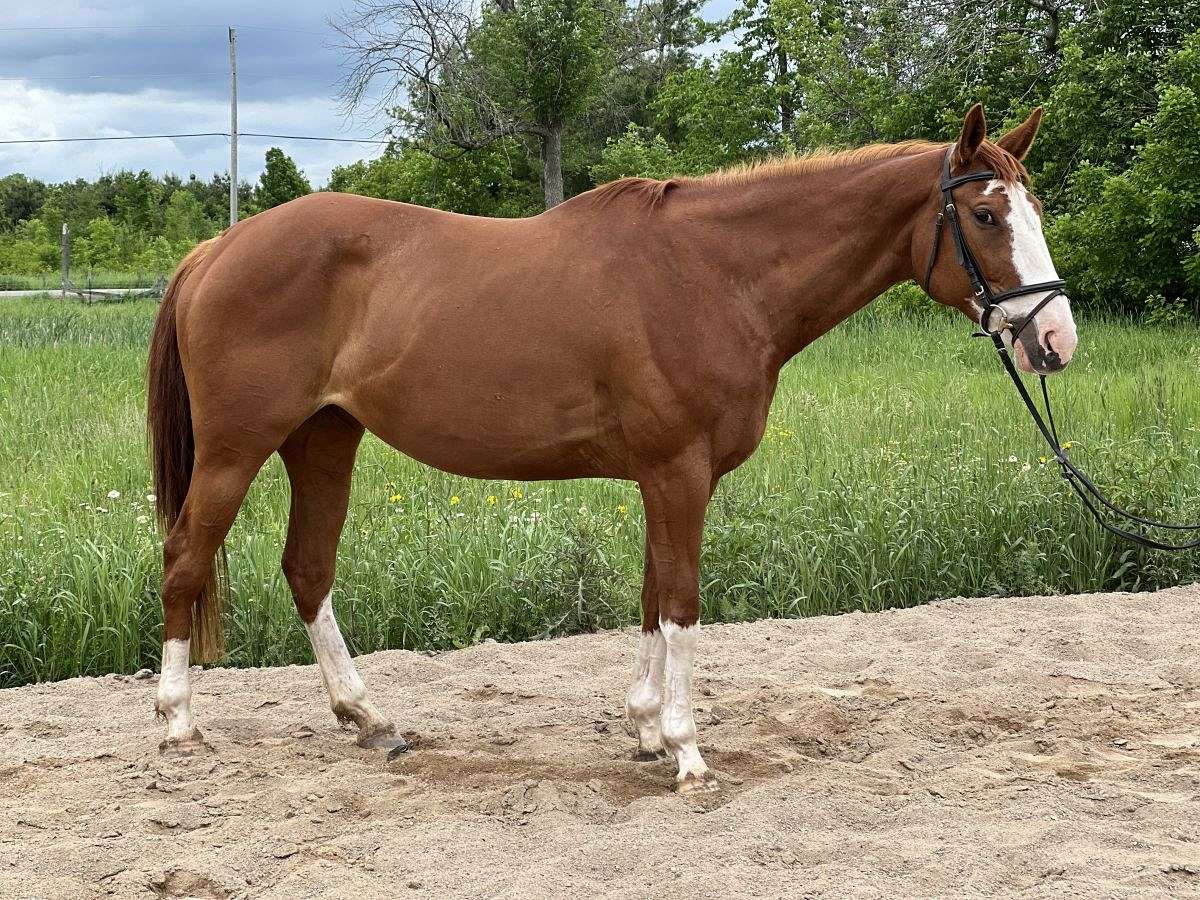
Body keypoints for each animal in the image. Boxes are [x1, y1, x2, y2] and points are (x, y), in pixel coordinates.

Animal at [146, 104, 1077, 793]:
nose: (1056, 341)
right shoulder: (678, 472)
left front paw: (645, 730)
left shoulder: (667, 477)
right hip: (237, 448)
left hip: (324, 437)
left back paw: (368, 719)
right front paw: (688, 750)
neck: (714, 275)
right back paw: (180, 721)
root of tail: (217, 249)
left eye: (1033, 212)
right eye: (985, 215)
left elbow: (652, 595)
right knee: (187, 557)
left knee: (308, 568)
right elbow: (684, 601)